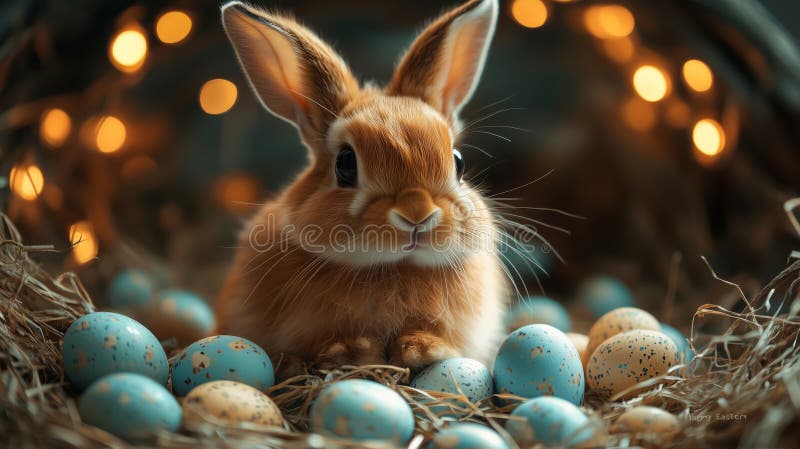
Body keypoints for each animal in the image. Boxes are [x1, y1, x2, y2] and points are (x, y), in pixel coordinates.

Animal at [217, 0, 507, 377]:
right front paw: (353, 351)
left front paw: (422, 348)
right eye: (345, 164)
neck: (394, 267)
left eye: (458, 163)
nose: (417, 215)